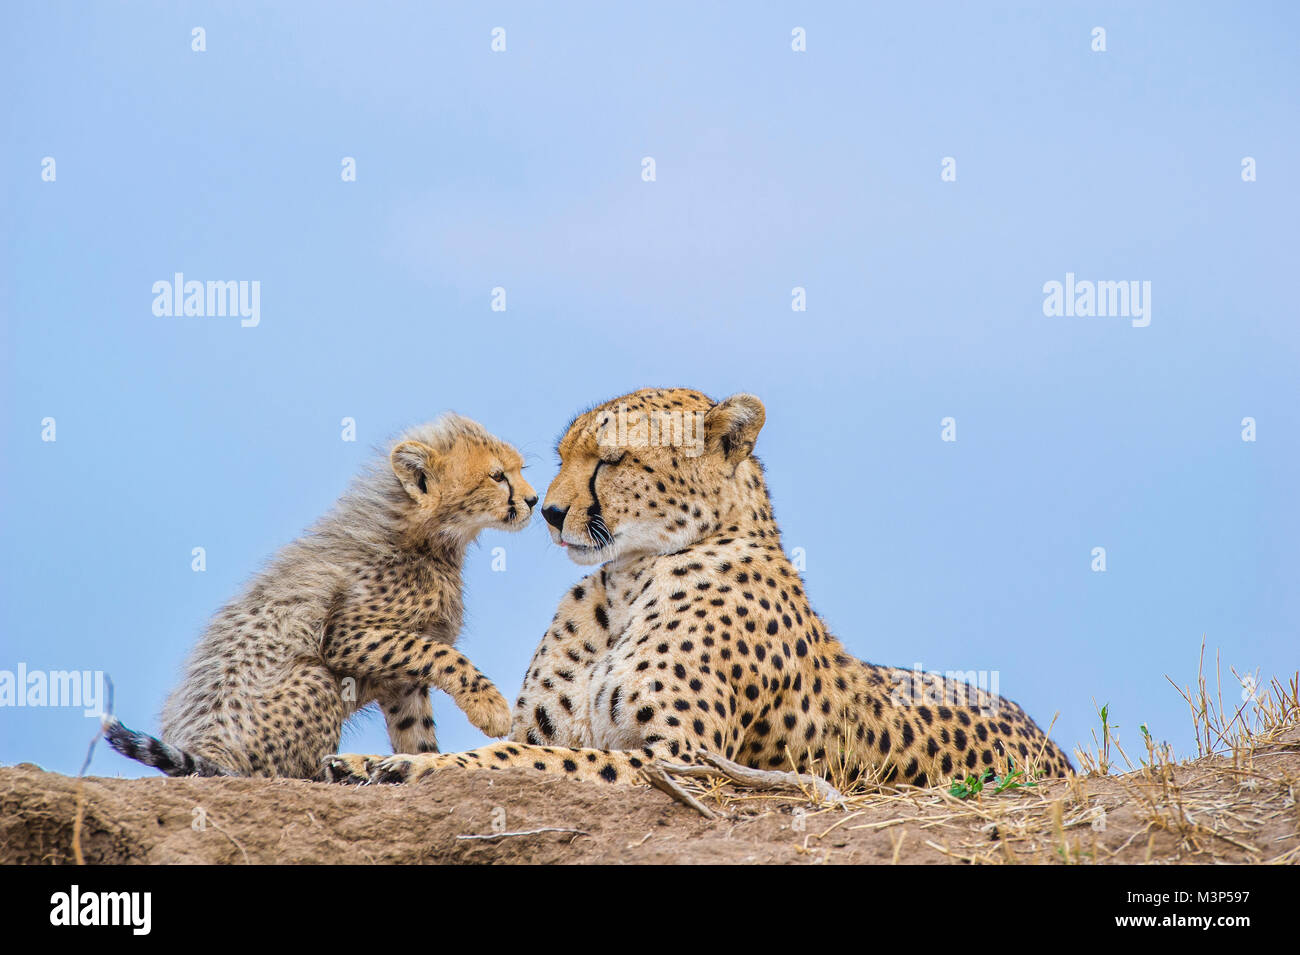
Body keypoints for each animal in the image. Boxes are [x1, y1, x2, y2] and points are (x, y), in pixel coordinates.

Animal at [104, 413, 535, 778]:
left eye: (519, 470)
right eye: (498, 476)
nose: (532, 500)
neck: (426, 538)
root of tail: (209, 748)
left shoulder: (401, 681)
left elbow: (417, 728)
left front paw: (419, 762)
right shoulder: (347, 637)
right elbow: (443, 654)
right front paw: (491, 708)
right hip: (315, 678)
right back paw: (334, 772)